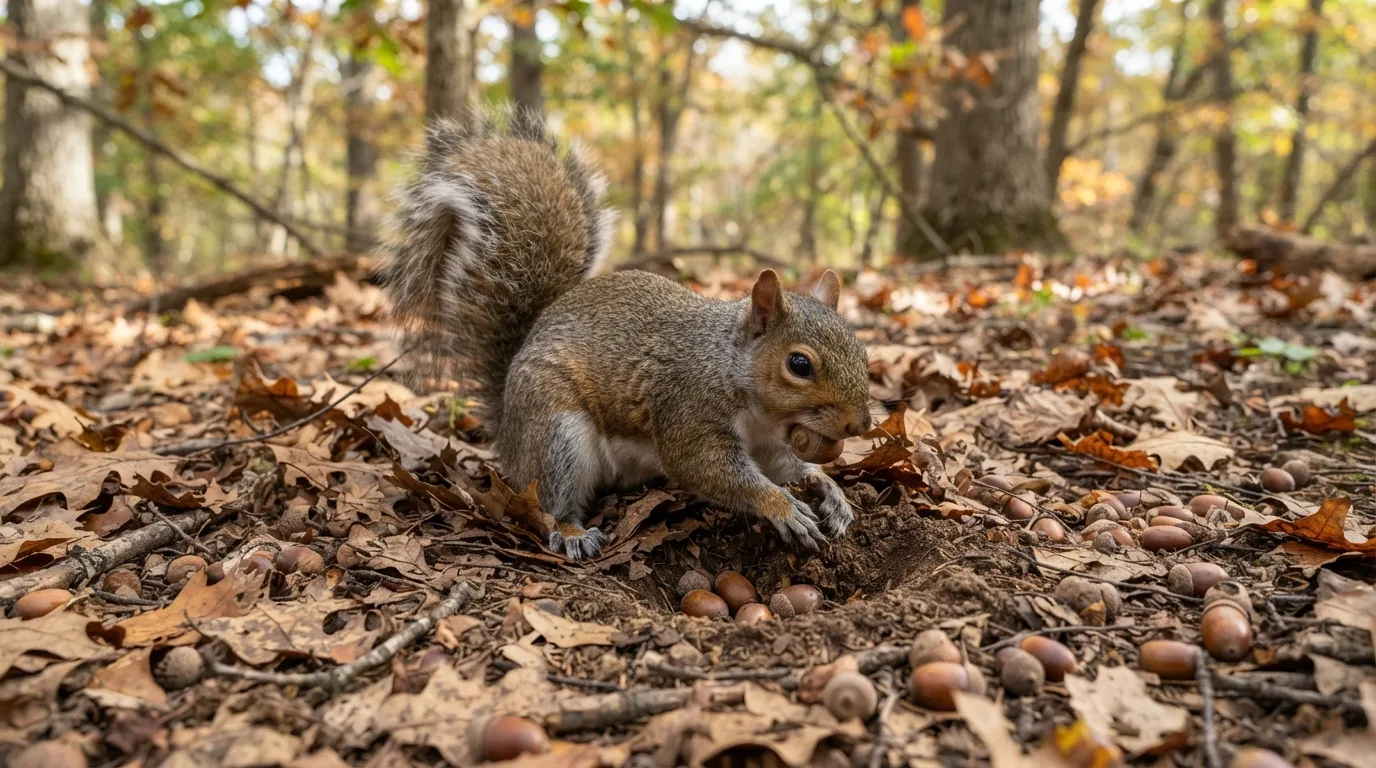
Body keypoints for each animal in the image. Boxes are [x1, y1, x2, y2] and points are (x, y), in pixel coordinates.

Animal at [382, 107, 873, 560]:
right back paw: (573, 533)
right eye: (799, 364)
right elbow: (709, 469)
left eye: (863, 352)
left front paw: (829, 489)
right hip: (557, 432)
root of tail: (507, 427)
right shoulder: (688, 410)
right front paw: (781, 506)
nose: (860, 425)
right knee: (550, 503)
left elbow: (790, 466)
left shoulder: (769, 444)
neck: (733, 368)